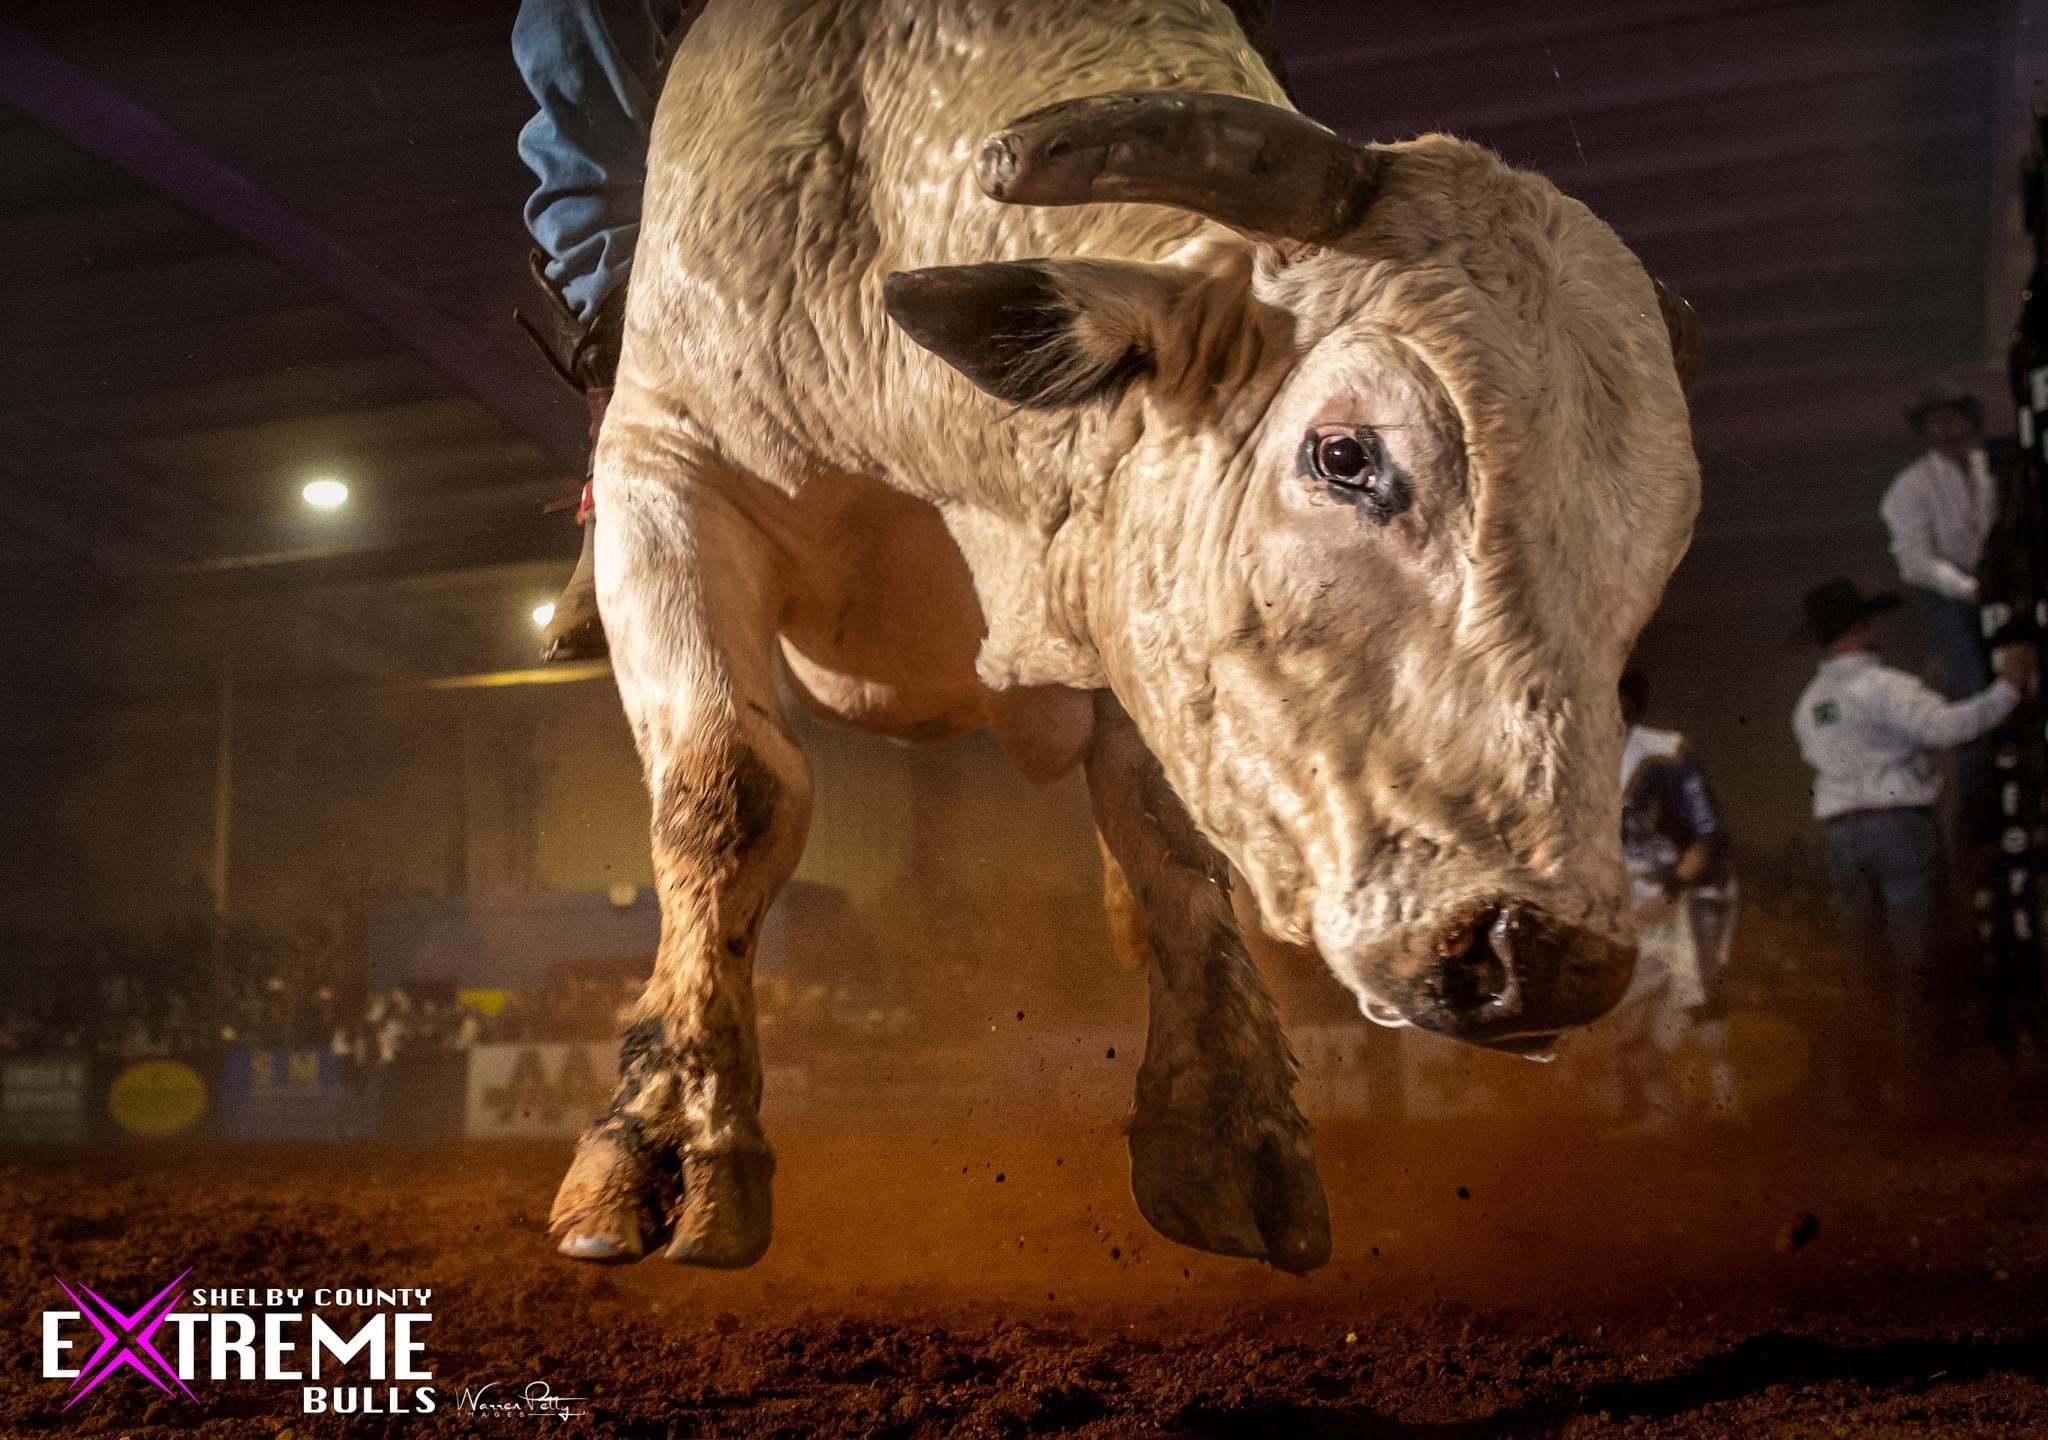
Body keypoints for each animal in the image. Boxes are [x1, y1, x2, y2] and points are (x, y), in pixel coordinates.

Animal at [547, 0, 1702, 1276]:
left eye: (1654, 549)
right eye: (1343, 454)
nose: (1549, 958)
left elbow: (1166, 832)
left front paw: (1230, 1124)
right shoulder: (665, 471)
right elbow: (730, 792)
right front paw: (664, 1140)